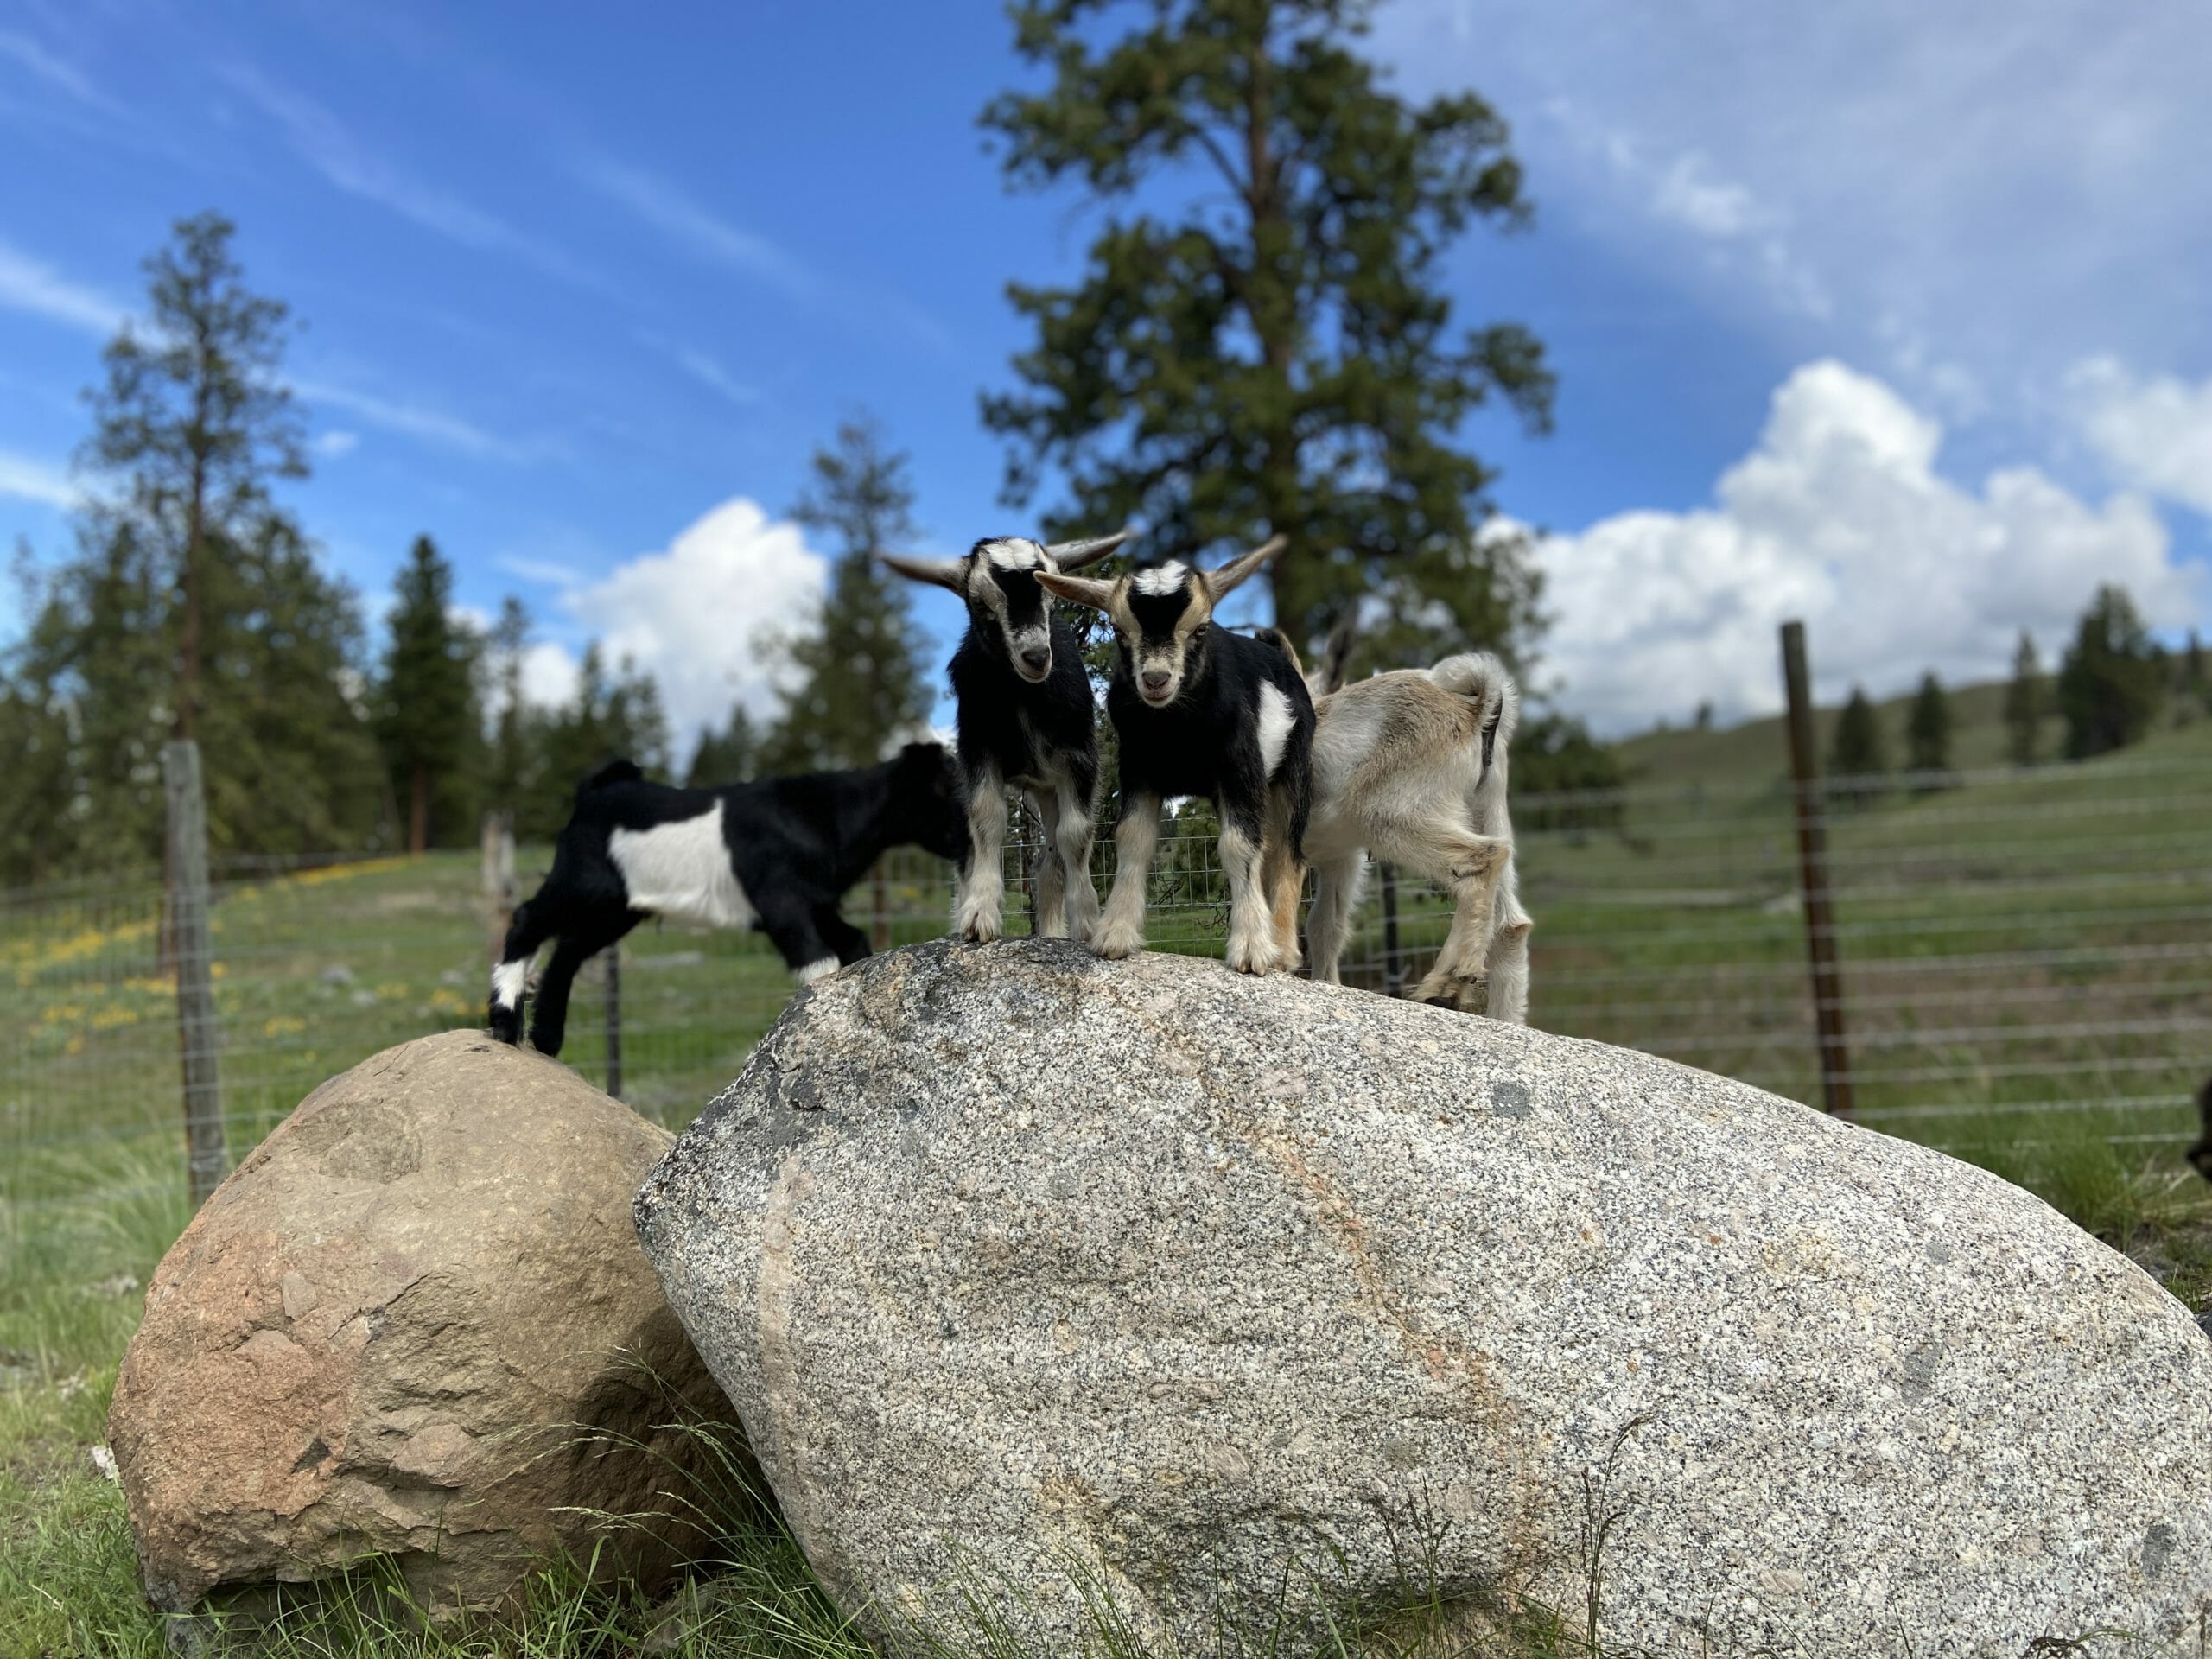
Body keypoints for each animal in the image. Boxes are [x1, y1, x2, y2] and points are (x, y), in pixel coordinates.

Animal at [487, 741, 968, 1056]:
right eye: (946, 789)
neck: (823, 817)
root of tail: (595, 792)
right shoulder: (782, 903)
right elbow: (818, 961)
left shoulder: (818, 903)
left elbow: (853, 944)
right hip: (584, 880)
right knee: (528, 918)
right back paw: (505, 1024)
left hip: (617, 909)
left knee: (567, 951)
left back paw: (546, 1039)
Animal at [883, 530, 1127, 944]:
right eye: (980, 604)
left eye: (1053, 598)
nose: (1036, 657)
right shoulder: (978, 752)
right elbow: (987, 819)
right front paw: (979, 915)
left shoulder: (1079, 757)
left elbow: (1075, 834)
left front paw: (1087, 924)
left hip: (1048, 786)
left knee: (1050, 860)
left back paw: (1052, 932)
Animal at [1039, 536, 1314, 975]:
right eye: (1118, 629)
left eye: (1202, 628)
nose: (1155, 679)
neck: (1178, 726)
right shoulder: (1138, 769)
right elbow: (1132, 839)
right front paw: (1114, 934)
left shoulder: (1240, 768)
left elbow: (1238, 846)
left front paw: (1252, 948)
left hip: (1294, 772)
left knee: (1290, 852)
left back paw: (1285, 950)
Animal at [1298, 652, 1531, 1021]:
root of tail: (1477, 711)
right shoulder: (1340, 856)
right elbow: (1324, 925)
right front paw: (1326, 985)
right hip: (1487, 809)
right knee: (1511, 926)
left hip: (1393, 814)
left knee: (1482, 859)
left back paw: (1446, 986)